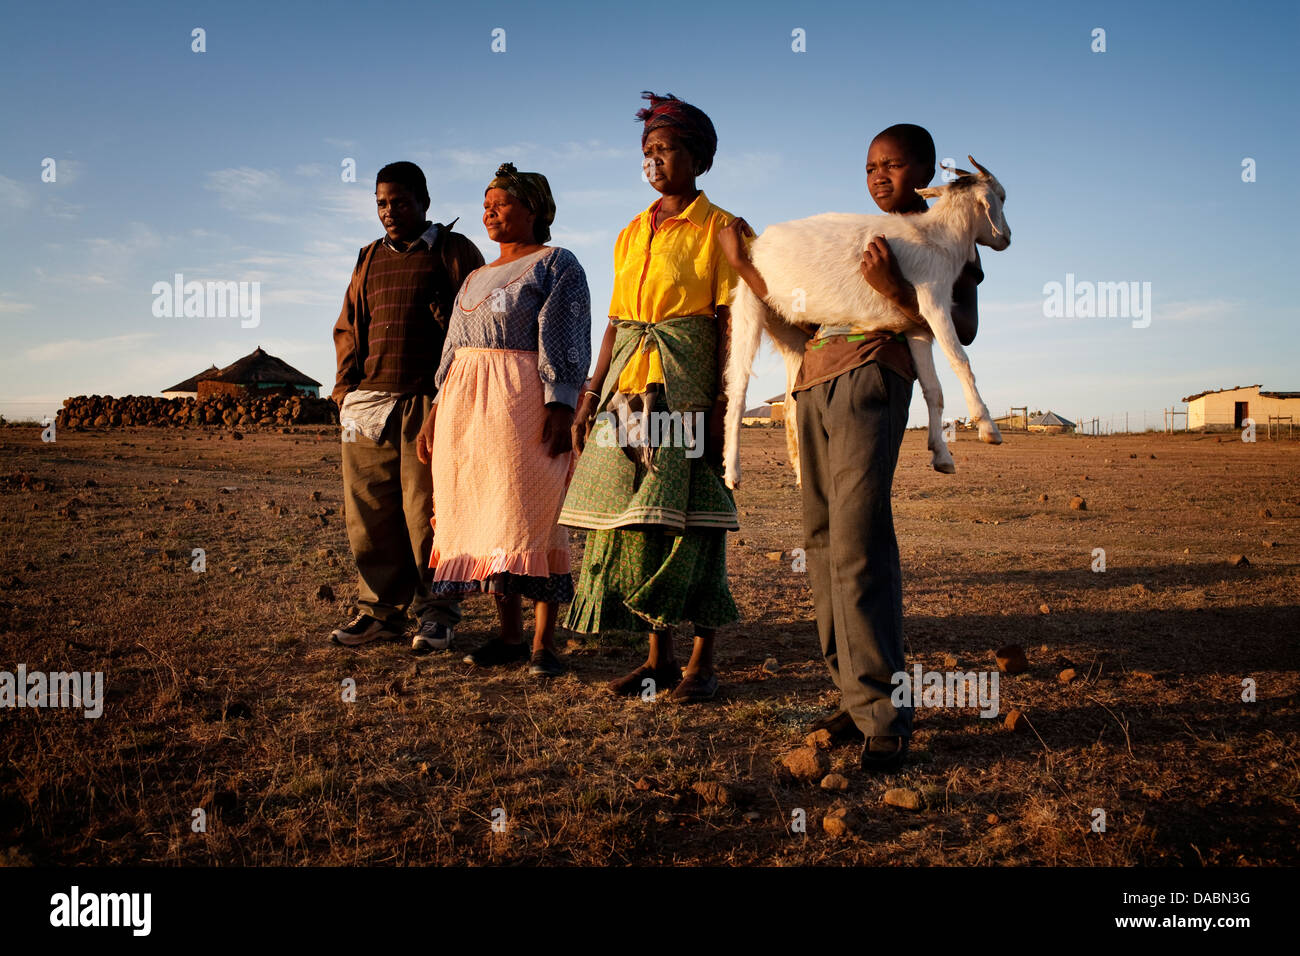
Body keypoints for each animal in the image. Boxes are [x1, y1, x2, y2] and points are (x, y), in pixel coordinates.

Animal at [728, 156, 1008, 489]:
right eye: (1002, 197)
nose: (1006, 238)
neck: (939, 238)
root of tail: (760, 244)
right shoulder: (934, 300)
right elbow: (960, 361)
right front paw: (988, 428)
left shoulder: (917, 325)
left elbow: (933, 389)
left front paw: (941, 455)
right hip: (747, 305)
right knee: (737, 392)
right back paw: (732, 472)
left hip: (788, 329)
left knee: (792, 402)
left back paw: (800, 473)